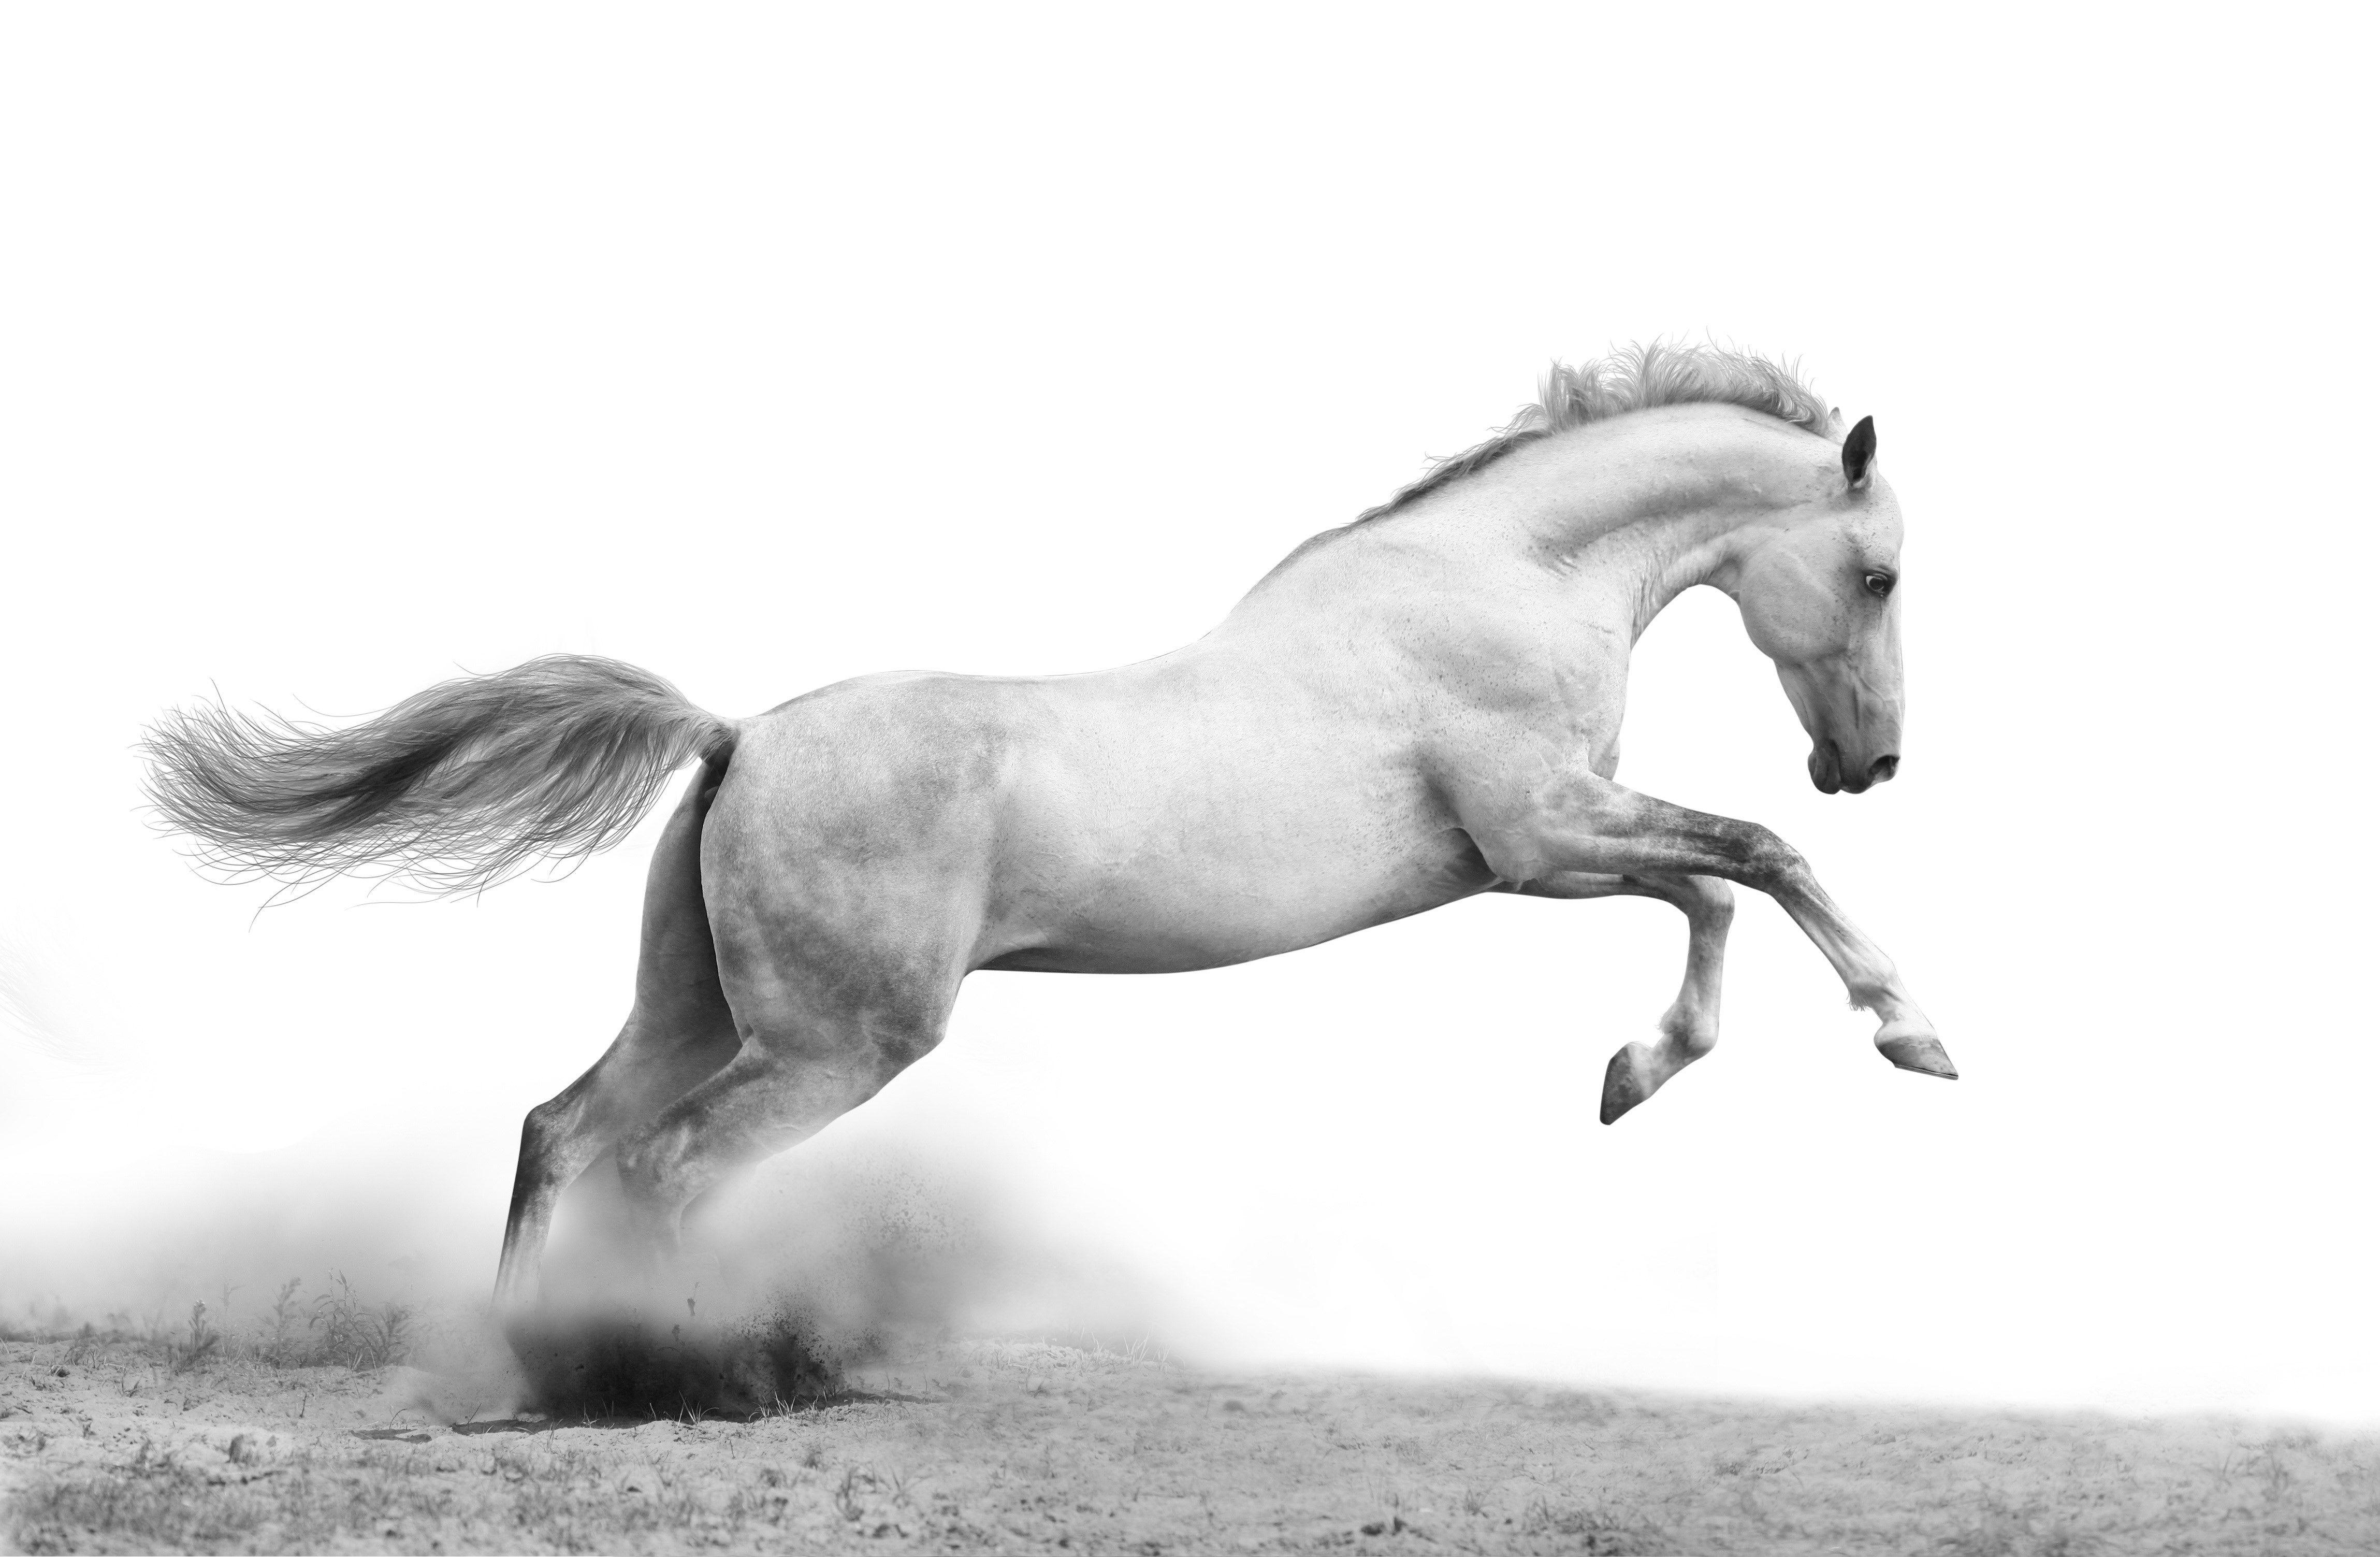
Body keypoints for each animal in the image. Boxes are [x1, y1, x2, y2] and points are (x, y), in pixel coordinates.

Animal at [142, 342, 1953, 1317]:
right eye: (1876, 574)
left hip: (699, 1008)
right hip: (833, 1044)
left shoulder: (1550, 851)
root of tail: (737, 737)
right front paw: (1909, 1032)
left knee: (562, 1132)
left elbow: (1718, 893)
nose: (1866, 762)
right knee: (666, 1168)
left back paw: (524, 1360)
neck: (1495, 580)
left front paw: (1632, 1075)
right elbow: (1752, 864)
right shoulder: (1538, 837)